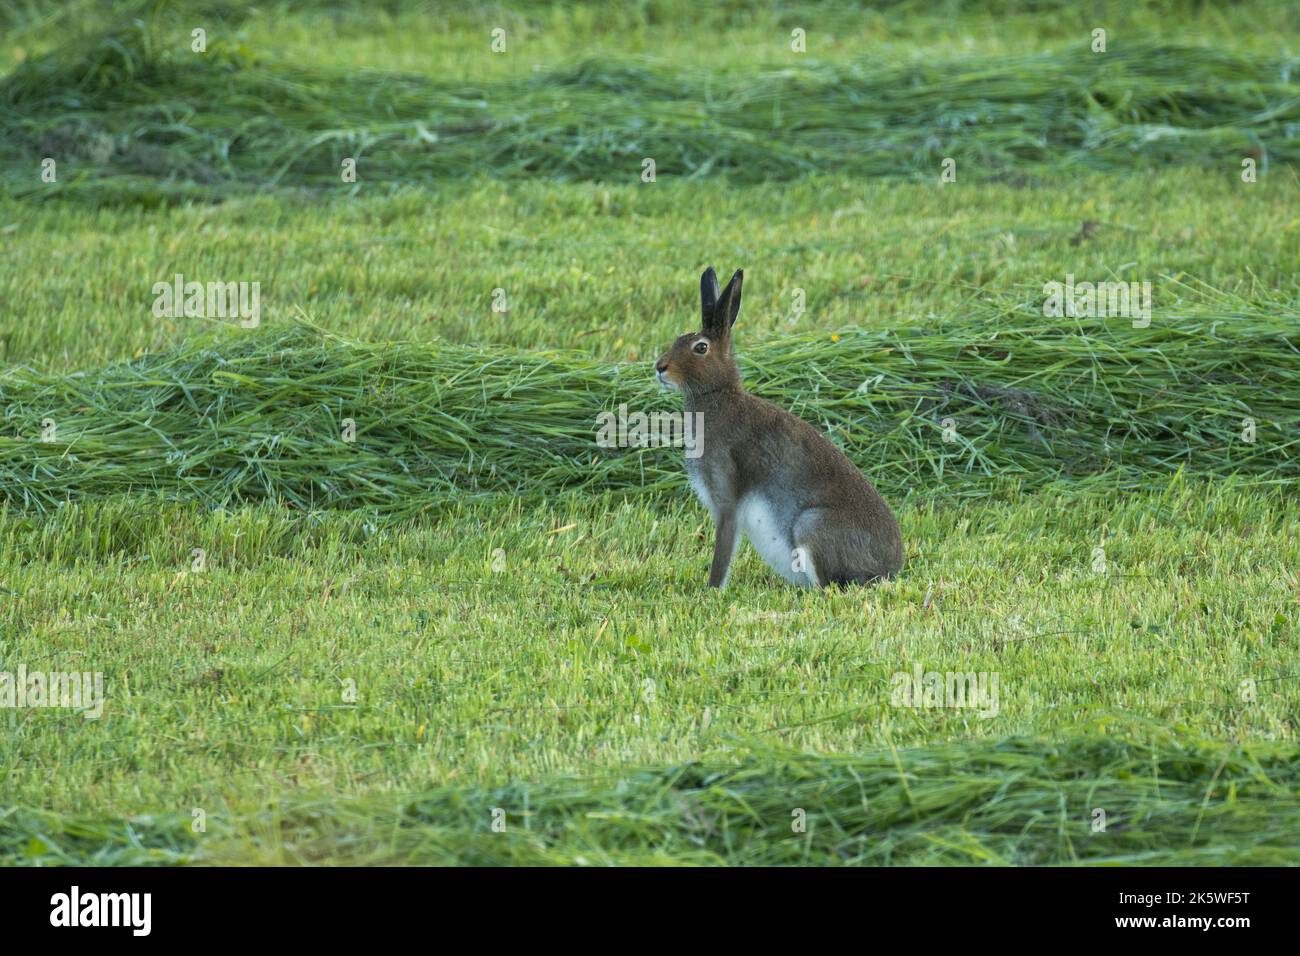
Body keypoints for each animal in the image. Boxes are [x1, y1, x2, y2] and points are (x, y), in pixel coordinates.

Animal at [655, 267, 903, 588]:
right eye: (677, 339)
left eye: (700, 348)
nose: (660, 367)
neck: (719, 393)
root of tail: (891, 567)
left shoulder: (727, 500)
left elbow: (723, 548)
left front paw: (711, 589)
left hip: (812, 526)